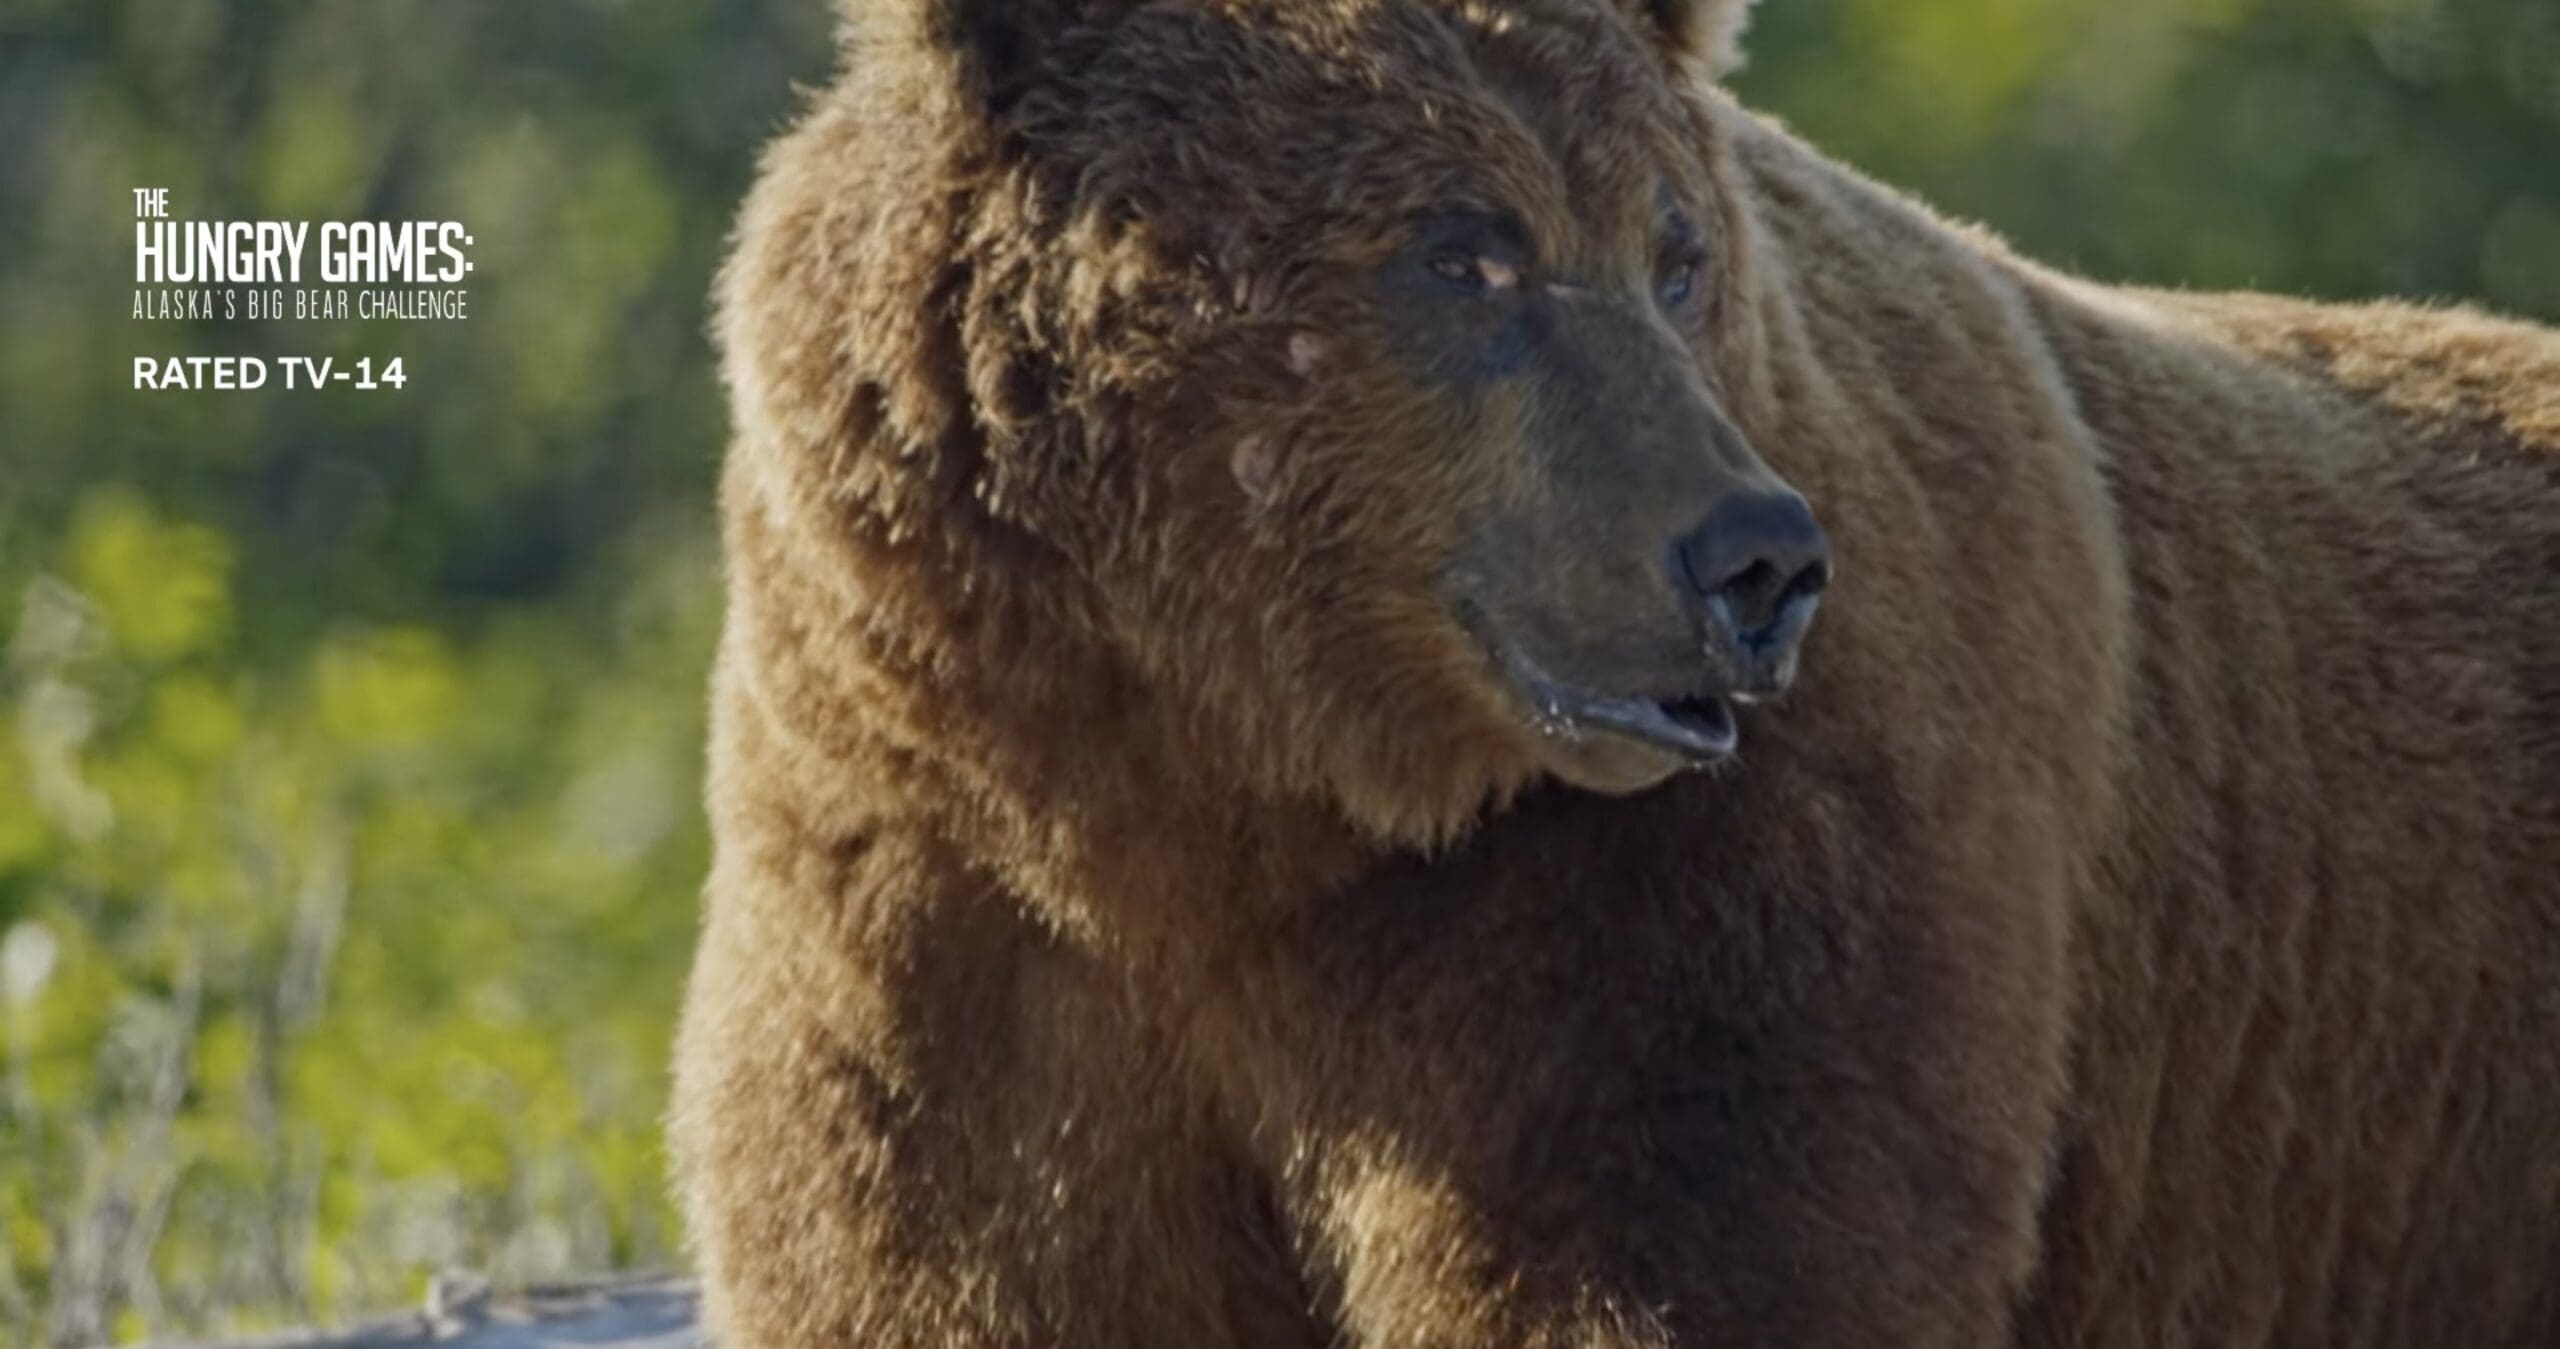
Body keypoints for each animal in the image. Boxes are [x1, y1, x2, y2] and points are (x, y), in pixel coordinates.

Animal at [669, 0, 2560, 1344]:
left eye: (1673, 251)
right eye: (1465, 250)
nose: (1756, 561)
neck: (1234, 789)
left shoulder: (1683, 891)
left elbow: (1689, 1226)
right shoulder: (945, 900)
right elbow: (961, 1253)